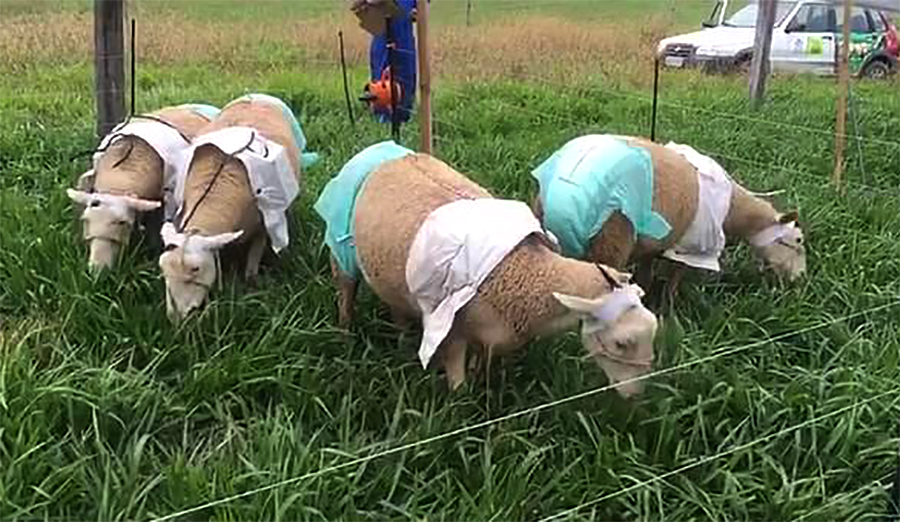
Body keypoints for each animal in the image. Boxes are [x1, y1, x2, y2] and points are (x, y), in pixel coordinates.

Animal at [159, 94, 315, 322]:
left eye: (196, 269)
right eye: (162, 268)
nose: (175, 318)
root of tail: (255, 95)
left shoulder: (262, 226)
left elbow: (252, 266)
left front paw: (251, 283)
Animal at [320, 150, 659, 397]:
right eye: (621, 343)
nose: (636, 395)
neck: (529, 274)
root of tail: (389, 155)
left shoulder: (488, 336)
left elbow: (479, 367)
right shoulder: (452, 334)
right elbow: (458, 387)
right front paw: (459, 412)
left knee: (396, 305)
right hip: (342, 255)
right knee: (346, 293)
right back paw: (345, 335)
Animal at [530, 134, 806, 307]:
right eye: (797, 241)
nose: (801, 279)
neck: (734, 210)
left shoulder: (652, 245)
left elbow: (646, 275)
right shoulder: (689, 247)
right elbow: (674, 280)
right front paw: (668, 309)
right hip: (611, 242)